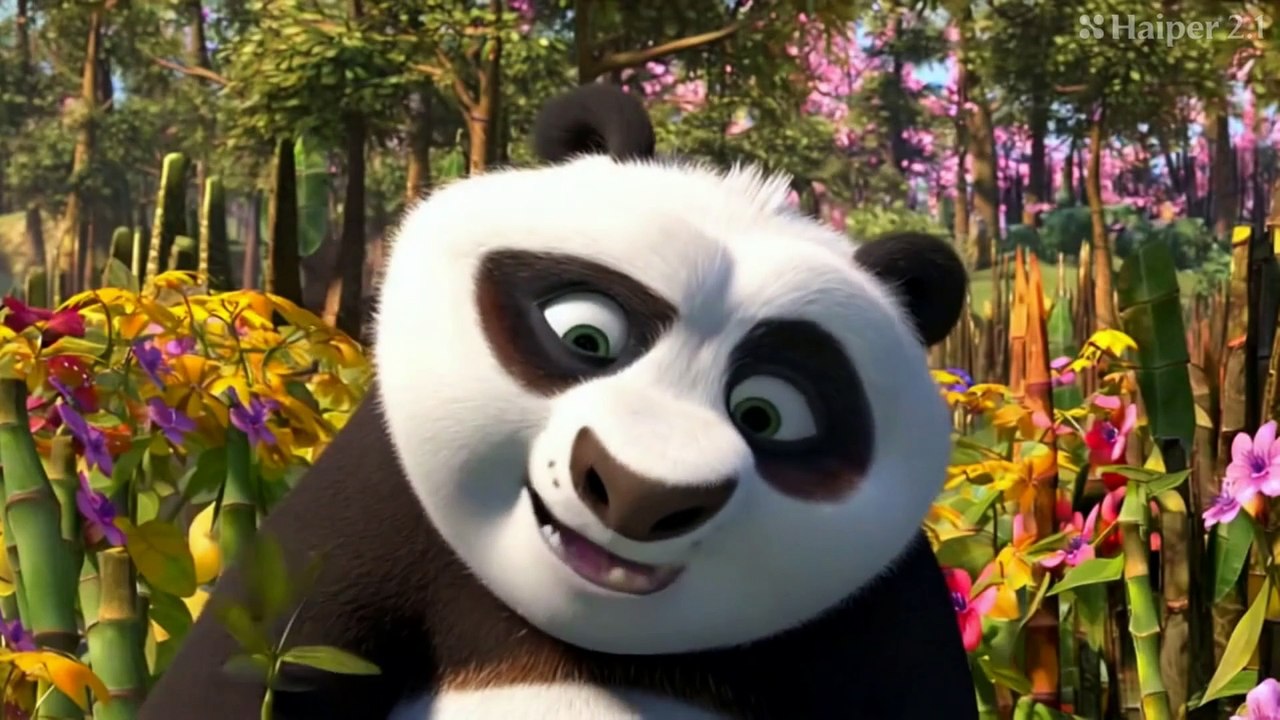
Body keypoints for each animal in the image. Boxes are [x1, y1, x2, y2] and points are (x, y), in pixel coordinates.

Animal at [140, 83, 977, 719]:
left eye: (766, 415)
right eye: (587, 335)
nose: (640, 490)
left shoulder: (881, 610)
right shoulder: (365, 515)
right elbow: (241, 664)